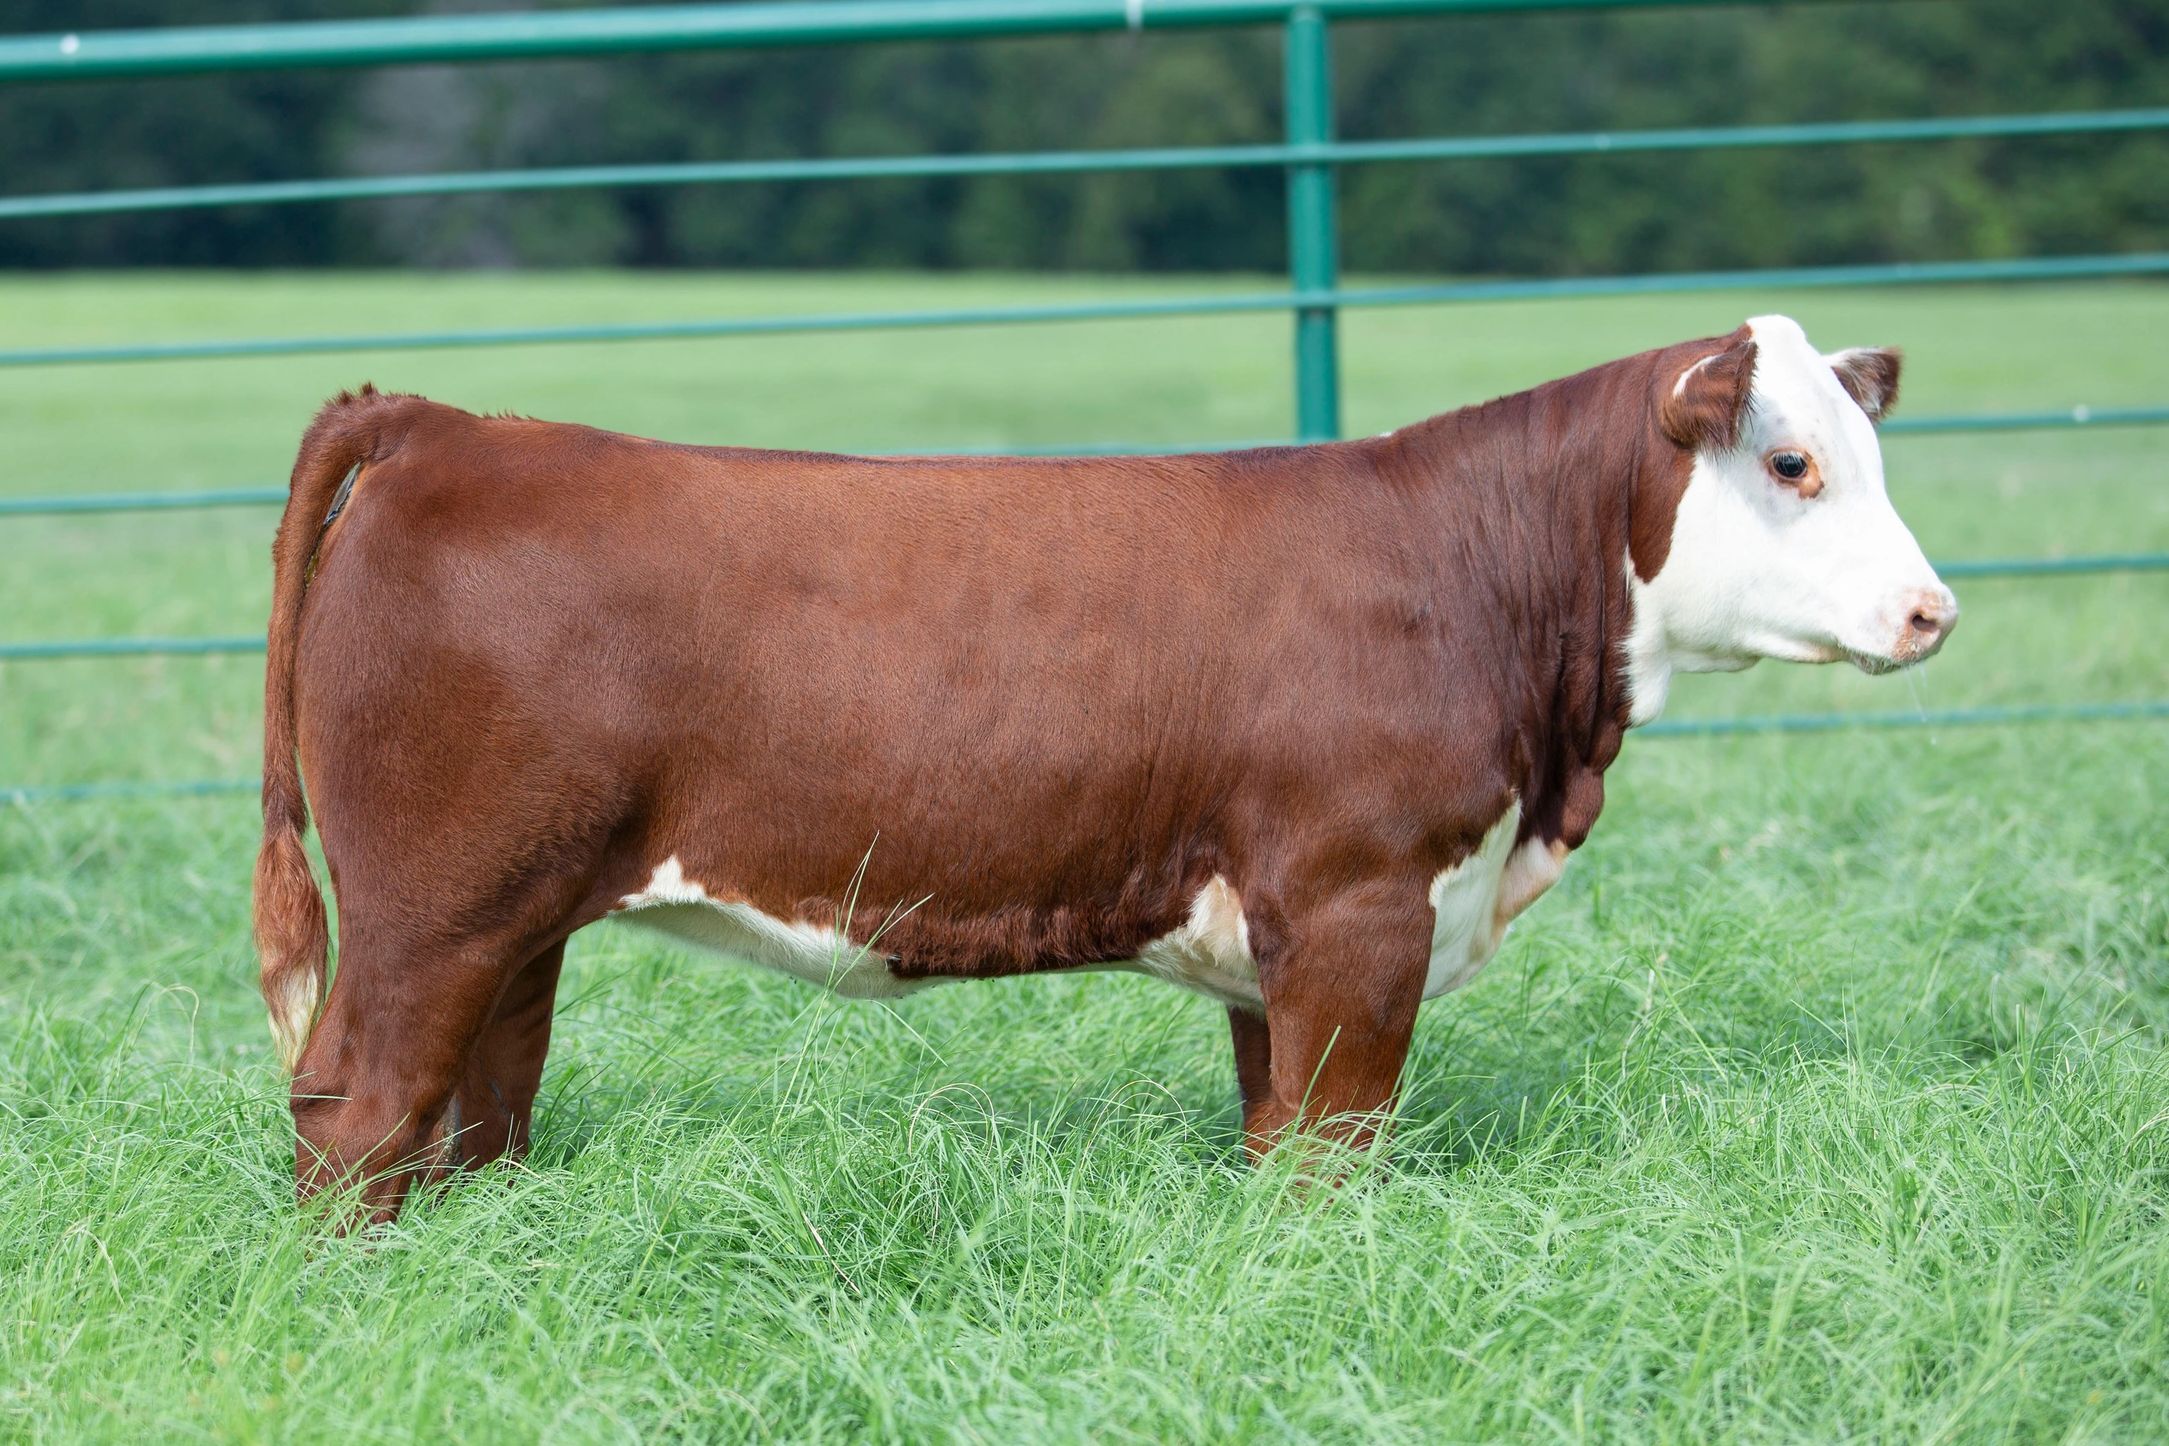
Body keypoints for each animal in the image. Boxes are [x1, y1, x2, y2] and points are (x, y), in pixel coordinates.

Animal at [254, 315, 1954, 1221]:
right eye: (1789, 462)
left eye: (1865, 455)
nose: (1933, 609)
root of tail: (455, 424)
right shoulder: (1359, 903)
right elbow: (1335, 1147)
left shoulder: (1285, 936)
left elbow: (1278, 1131)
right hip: (429, 907)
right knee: (359, 1109)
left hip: (513, 915)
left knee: (476, 1108)